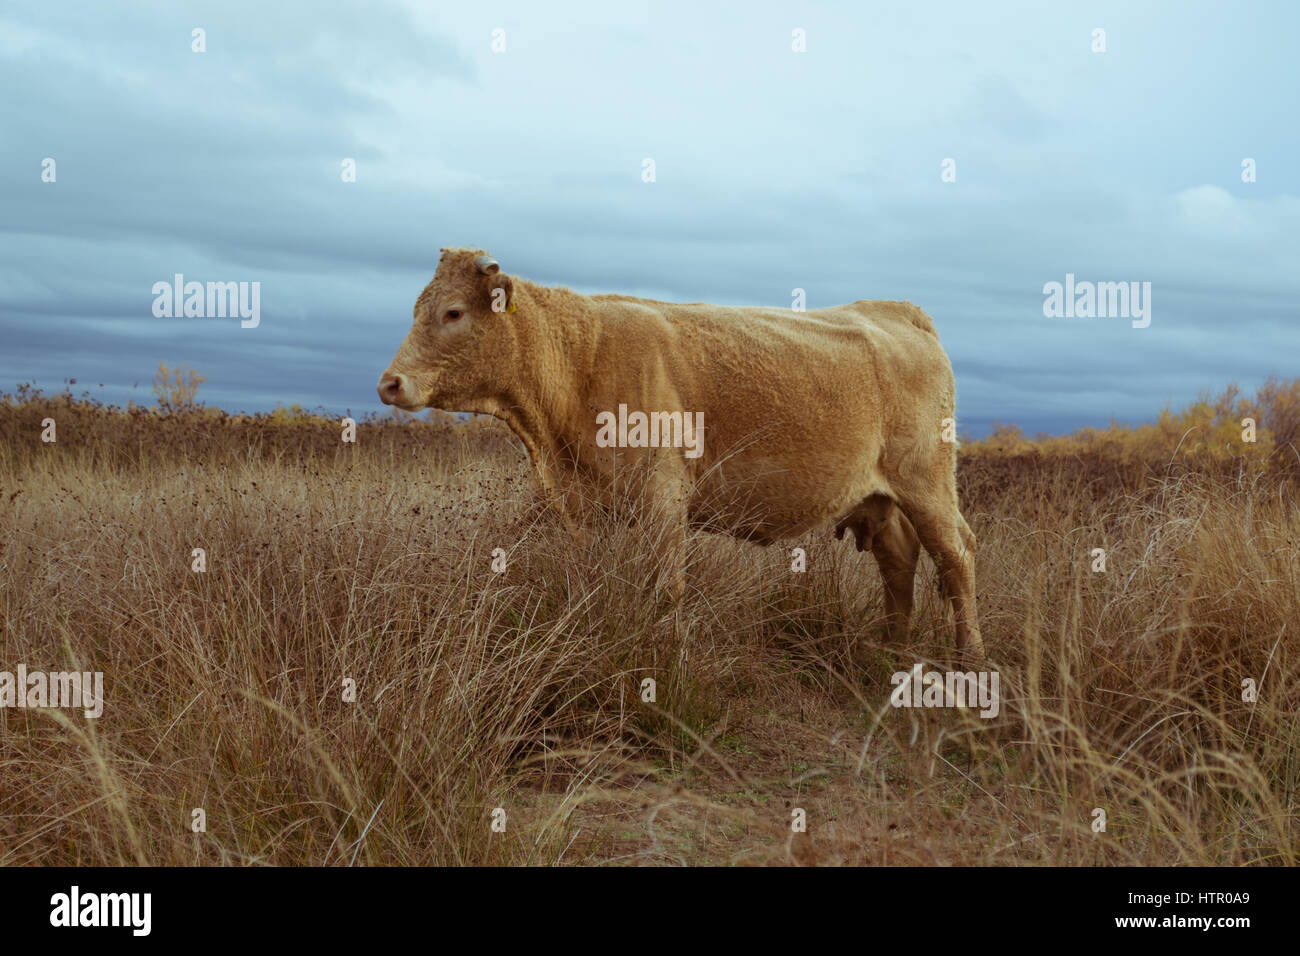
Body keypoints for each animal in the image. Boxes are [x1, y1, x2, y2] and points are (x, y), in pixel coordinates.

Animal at [378, 248, 983, 661]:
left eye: (453, 313)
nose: (389, 383)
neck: (580, 362)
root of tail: (896, 310)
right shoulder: (580, 504)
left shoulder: (663, 495)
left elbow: (665, 585)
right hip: (882, 496)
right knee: (899, 557)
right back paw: (892, 651)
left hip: (927, 482)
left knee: (956, 557)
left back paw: (967, 662)